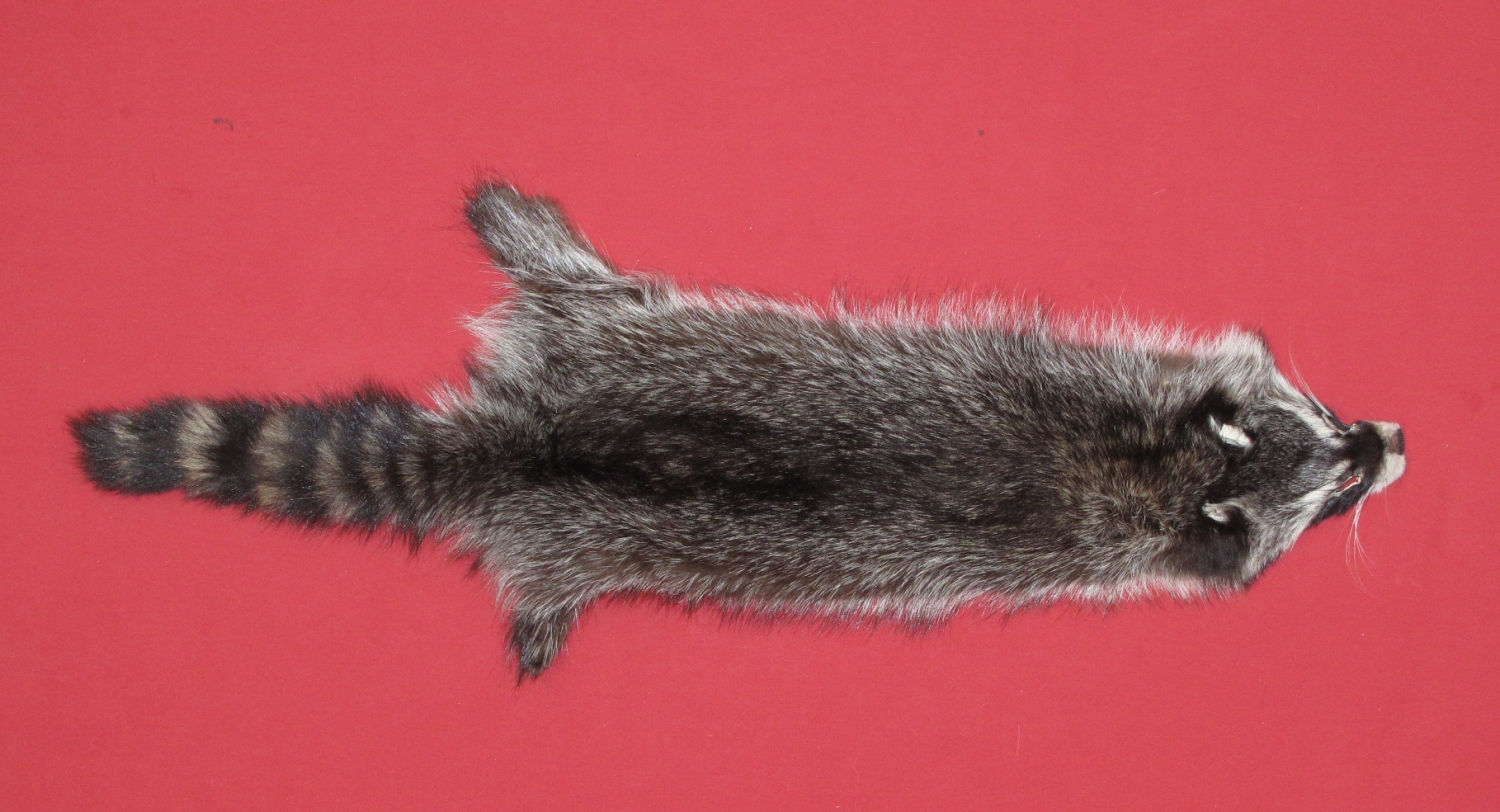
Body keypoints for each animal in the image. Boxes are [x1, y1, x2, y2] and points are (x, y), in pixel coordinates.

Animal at [71, 182, 1406, 678]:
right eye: (1335, 491)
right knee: (593, 293)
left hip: (594, 347)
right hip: (595, 427)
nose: (1391, 440)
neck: (1160, 460)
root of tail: (520, 443)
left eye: (1333, 425)